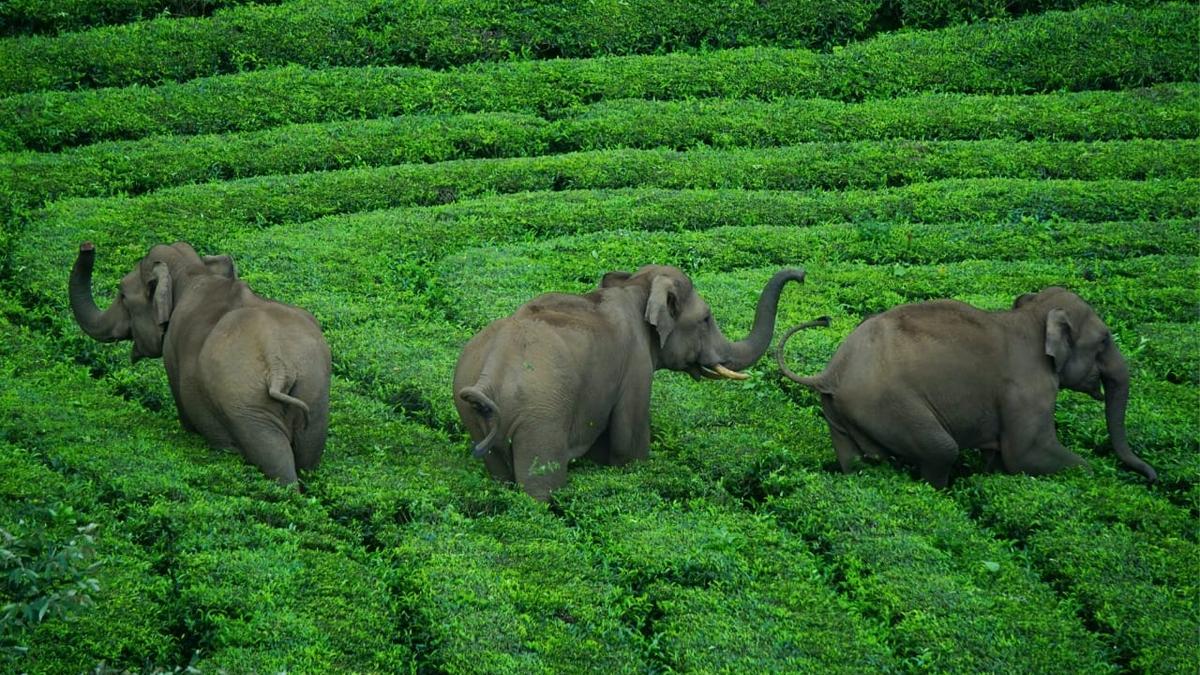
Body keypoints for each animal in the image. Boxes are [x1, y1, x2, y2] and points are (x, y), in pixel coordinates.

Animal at [69, 241, 331, 485]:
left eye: (122, 294)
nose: (86, 246)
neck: (193, 271)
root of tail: (279, 368)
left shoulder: (172, 350)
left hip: (246, 409)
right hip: (313, 395)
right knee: (307, 459)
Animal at [454, 265, 808, 500]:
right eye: (706, 319)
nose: (802, 275)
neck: (635, 286)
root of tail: (491, 368)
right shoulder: (636, 367)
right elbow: (628, 443)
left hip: (470, 411)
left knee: (498, 471)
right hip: (541, 415)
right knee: (539, 485)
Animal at [776, 287, 1157, 488]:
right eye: (1105, 340)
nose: (1152, 477)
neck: (1029, 316)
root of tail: (831, 371)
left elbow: (1001, 460)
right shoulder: (1028, 391)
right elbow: (1026, 454)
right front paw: (1092, 476)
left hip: (839, 411)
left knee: (855, 461)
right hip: (887, 404)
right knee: (941, 450)